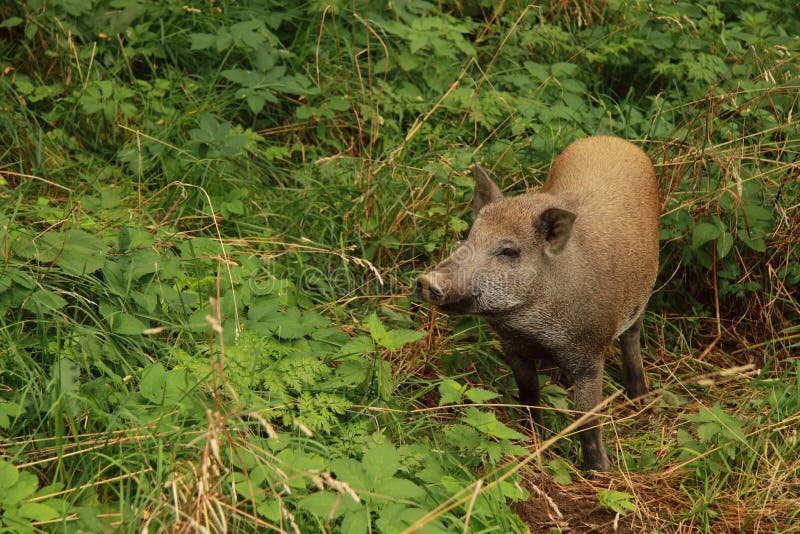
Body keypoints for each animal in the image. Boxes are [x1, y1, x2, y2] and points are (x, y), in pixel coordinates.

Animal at [415, 135, 660, 471]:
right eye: (469, 237)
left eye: (509, 251)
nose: (428, 280)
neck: (532, 326)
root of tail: (612, 140)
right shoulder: (513, 347)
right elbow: (529, 395)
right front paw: (532, 439)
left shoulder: (591, 354)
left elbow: (586, 420)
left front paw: (598, 472)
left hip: (643, 293)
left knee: (632, 337)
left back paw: (641, 401)